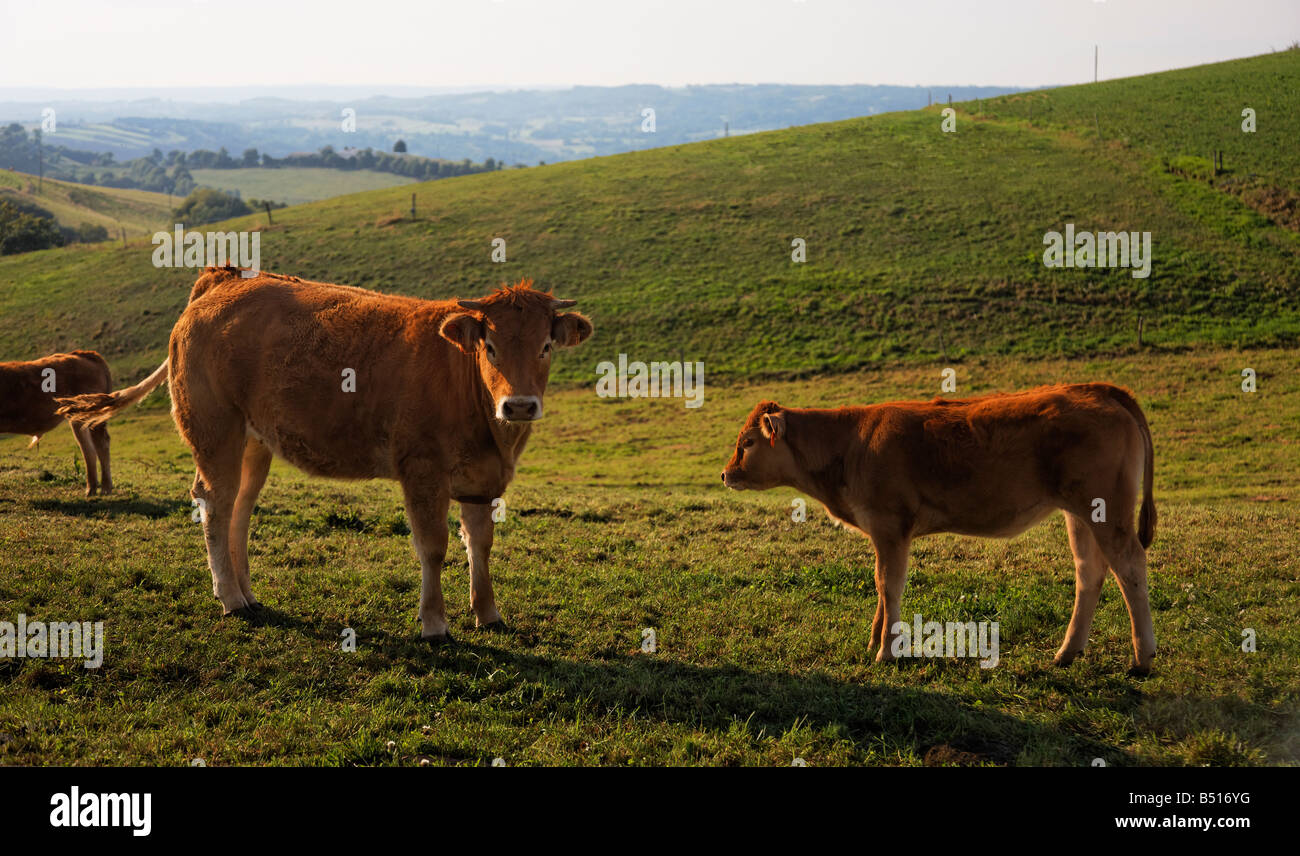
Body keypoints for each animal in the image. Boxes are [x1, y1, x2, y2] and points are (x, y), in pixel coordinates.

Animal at [57, 266, 593, 642]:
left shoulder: (481, 479)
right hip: (215, 432)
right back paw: (229, 598)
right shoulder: (422, 470)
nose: (519, 405)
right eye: (491, 347)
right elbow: (434, 547)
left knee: (239, 508)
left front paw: (488, 613)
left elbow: (479, 544)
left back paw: (247, 593)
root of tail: (224, 280)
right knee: (213, 504)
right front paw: (434, 624)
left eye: (546, 346)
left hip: (254, 441)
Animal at [721, 383, 1158, 674]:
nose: (725, 474)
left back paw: (1142, 658)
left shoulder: (890, 526)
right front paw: (874, 638)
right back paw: (1067, 652)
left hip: (1107, 511)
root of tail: (1094, 389)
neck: (850, 444)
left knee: (1130, 567)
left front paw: (886, 650)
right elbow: (880, 584)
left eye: (747, 442)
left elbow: (889, 585)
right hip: (1081, 514)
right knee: (1090, 572)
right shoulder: (883, 532)